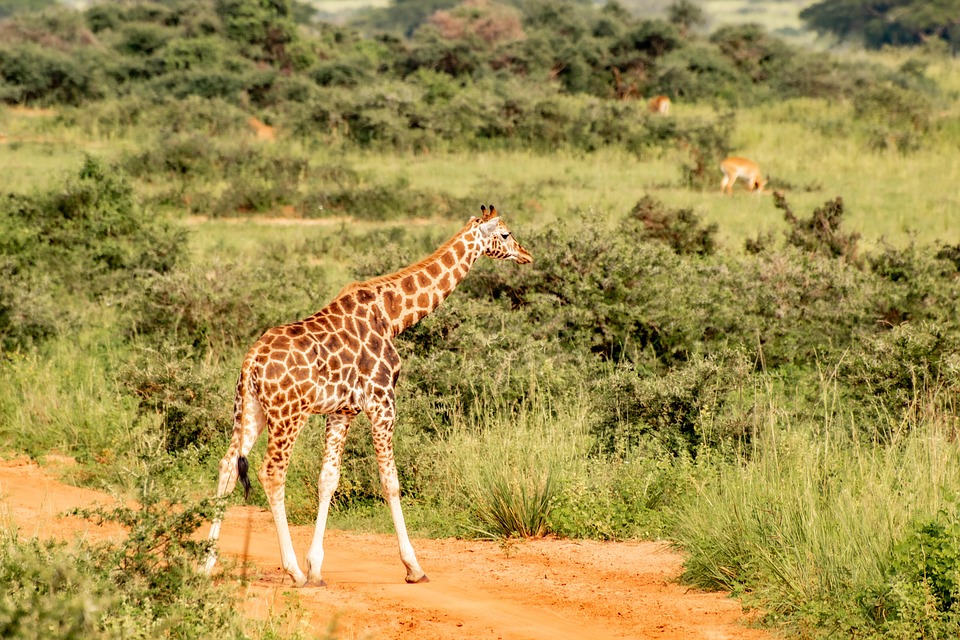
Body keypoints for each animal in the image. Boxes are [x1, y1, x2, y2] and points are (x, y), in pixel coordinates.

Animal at [203, 205, 532, 586]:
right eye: (505, 234)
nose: (526, 254)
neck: (392, 315)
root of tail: (251, 362)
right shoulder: (382, 402)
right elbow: (390, 481)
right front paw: (413, 567)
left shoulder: (342, 411)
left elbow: (328, 480)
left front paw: (317, 567)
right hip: (288, 414)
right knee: (272, 473)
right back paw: (293, 571)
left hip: (249, 411)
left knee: (228, 465)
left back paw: (206, 563)